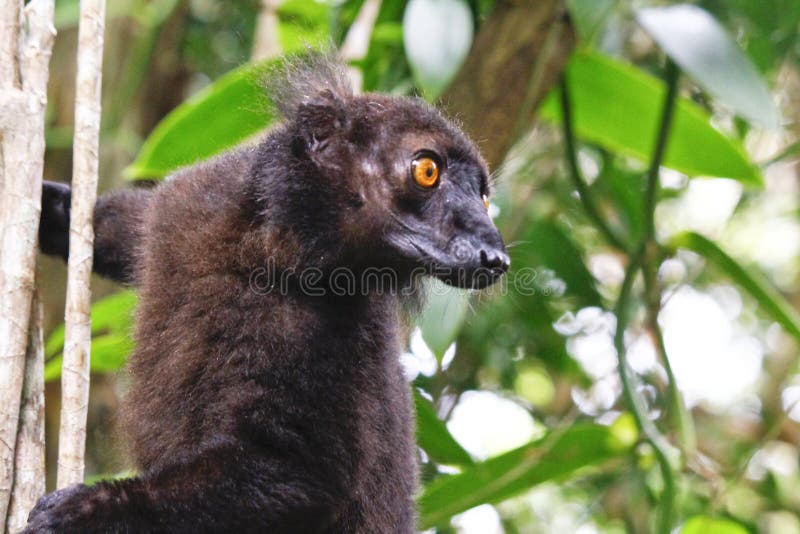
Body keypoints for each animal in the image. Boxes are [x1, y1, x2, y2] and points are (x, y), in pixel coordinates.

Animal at [24, 53, 509, 533]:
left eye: (483, 198)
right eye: (428, 171)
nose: (494, 256)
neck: (271, 246)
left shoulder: (329, 332)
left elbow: (302, 479)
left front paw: (85, 511)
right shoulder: (190, 202)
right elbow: (126, 225)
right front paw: (48, 208)